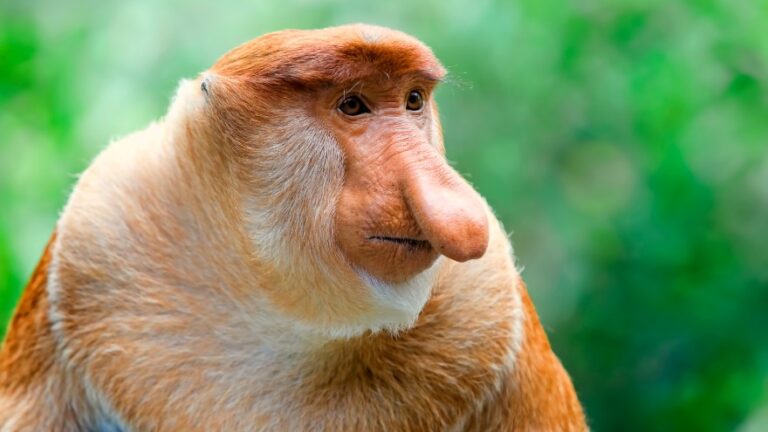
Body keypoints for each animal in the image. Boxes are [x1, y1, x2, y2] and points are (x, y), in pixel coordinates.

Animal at [0, 24, 586, 431]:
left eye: (414, 100)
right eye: (353, 104)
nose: (458, 209)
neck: (279, 306)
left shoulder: (489, 303)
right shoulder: (98, 232)